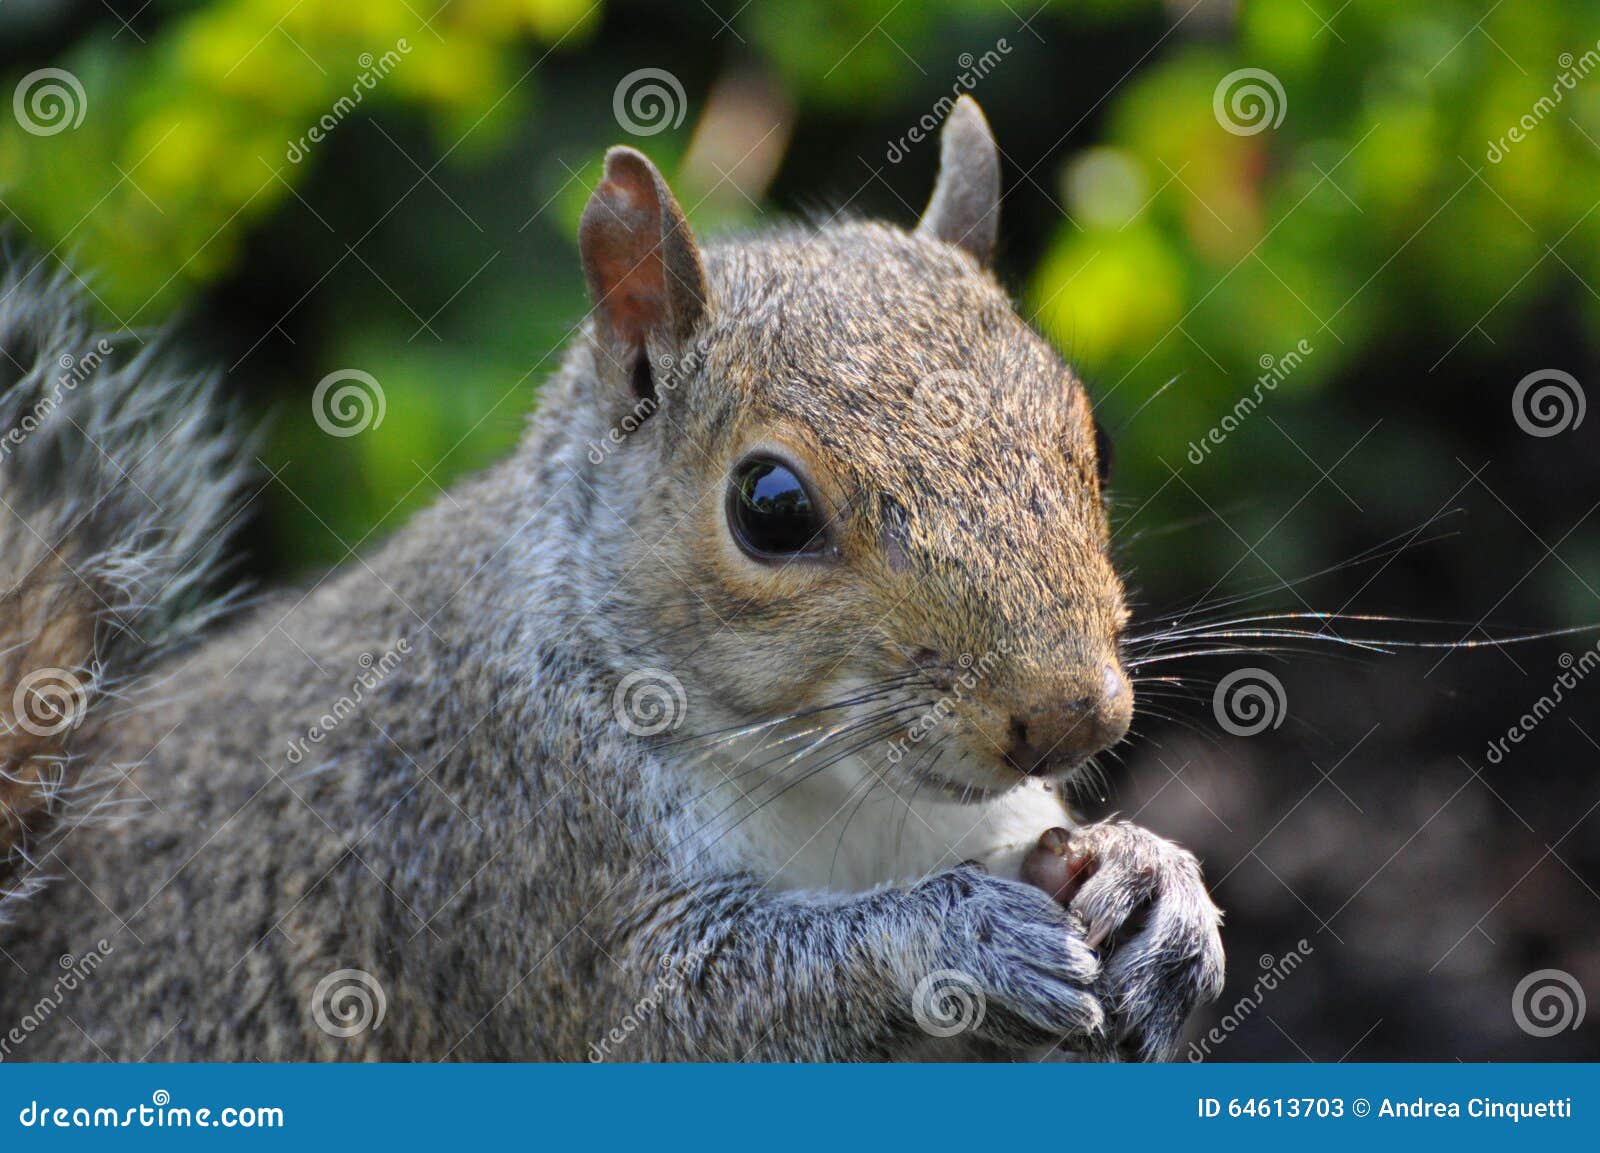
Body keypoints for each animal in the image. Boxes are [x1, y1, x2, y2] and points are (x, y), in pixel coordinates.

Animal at [0, 96, 1222, 1061]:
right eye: (771, 508)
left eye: (1095, 440)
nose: (1070, 715)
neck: (843, 795)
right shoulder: (514, 852)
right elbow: (687, 1009)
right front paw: (954, 935)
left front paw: (1152, 884)